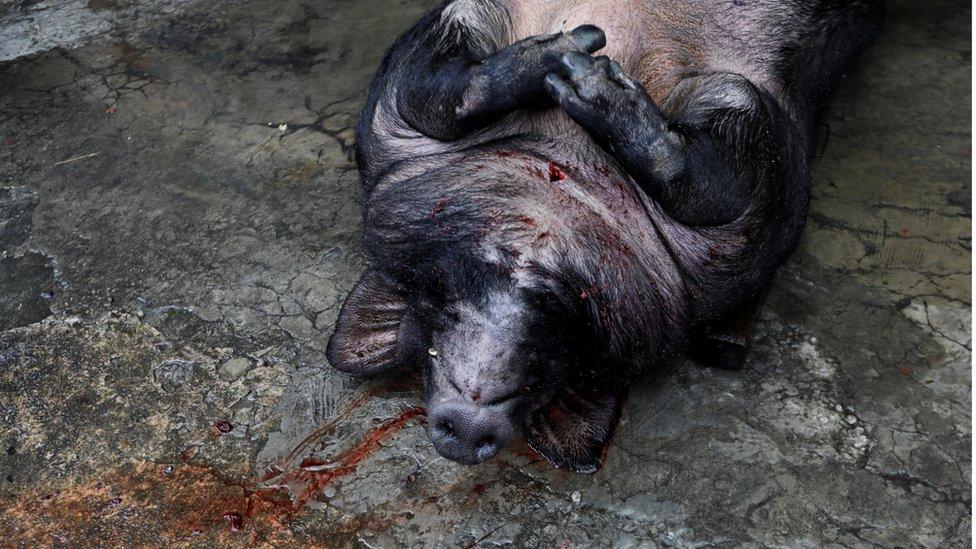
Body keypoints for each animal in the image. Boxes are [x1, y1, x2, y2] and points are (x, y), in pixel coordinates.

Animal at [326, 0, 887, 472]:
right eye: (426, 346)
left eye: (543, 375)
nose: (462, 430)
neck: (563, 159)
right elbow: (434, 92)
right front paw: (573, 59)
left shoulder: (754, 157)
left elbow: (721, 175)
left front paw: (582, 60)